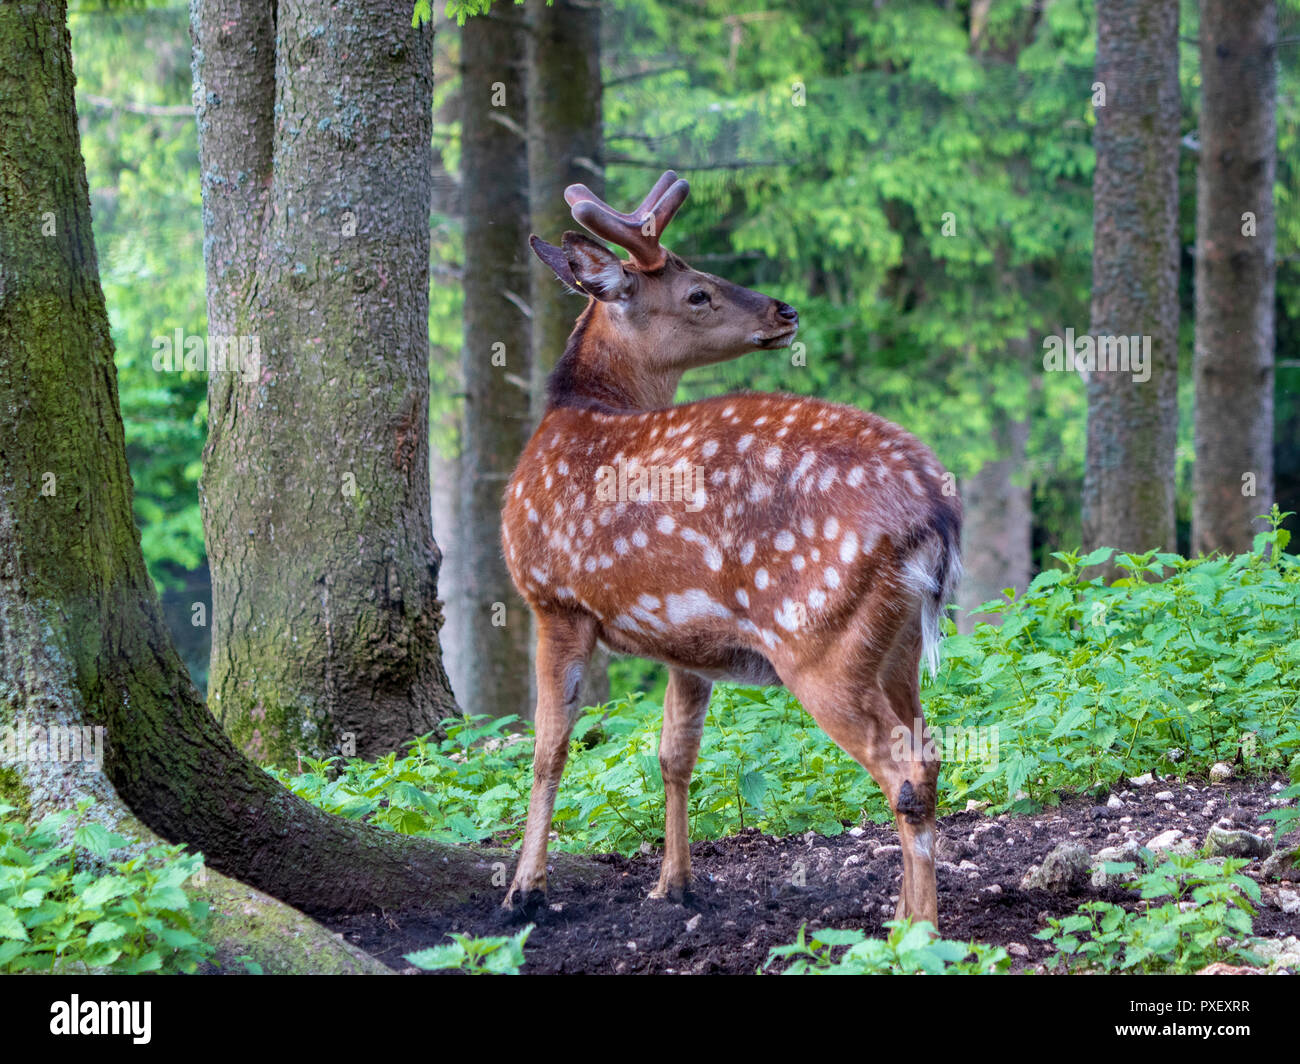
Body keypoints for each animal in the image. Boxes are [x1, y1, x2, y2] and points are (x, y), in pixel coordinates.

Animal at [501, 171, 962, 928]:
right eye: (699, 292)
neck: (577, 413)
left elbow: (548, 750)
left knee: (907, 769)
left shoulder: (552, 596)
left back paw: (916, 932)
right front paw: (674, 883)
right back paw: (900, 916)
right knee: (932, 748)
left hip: (817, 635)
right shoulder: (683, 638)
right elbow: (674, 753)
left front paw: (524, 893)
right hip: (896, 644)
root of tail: (938, 510)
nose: (785, 310)